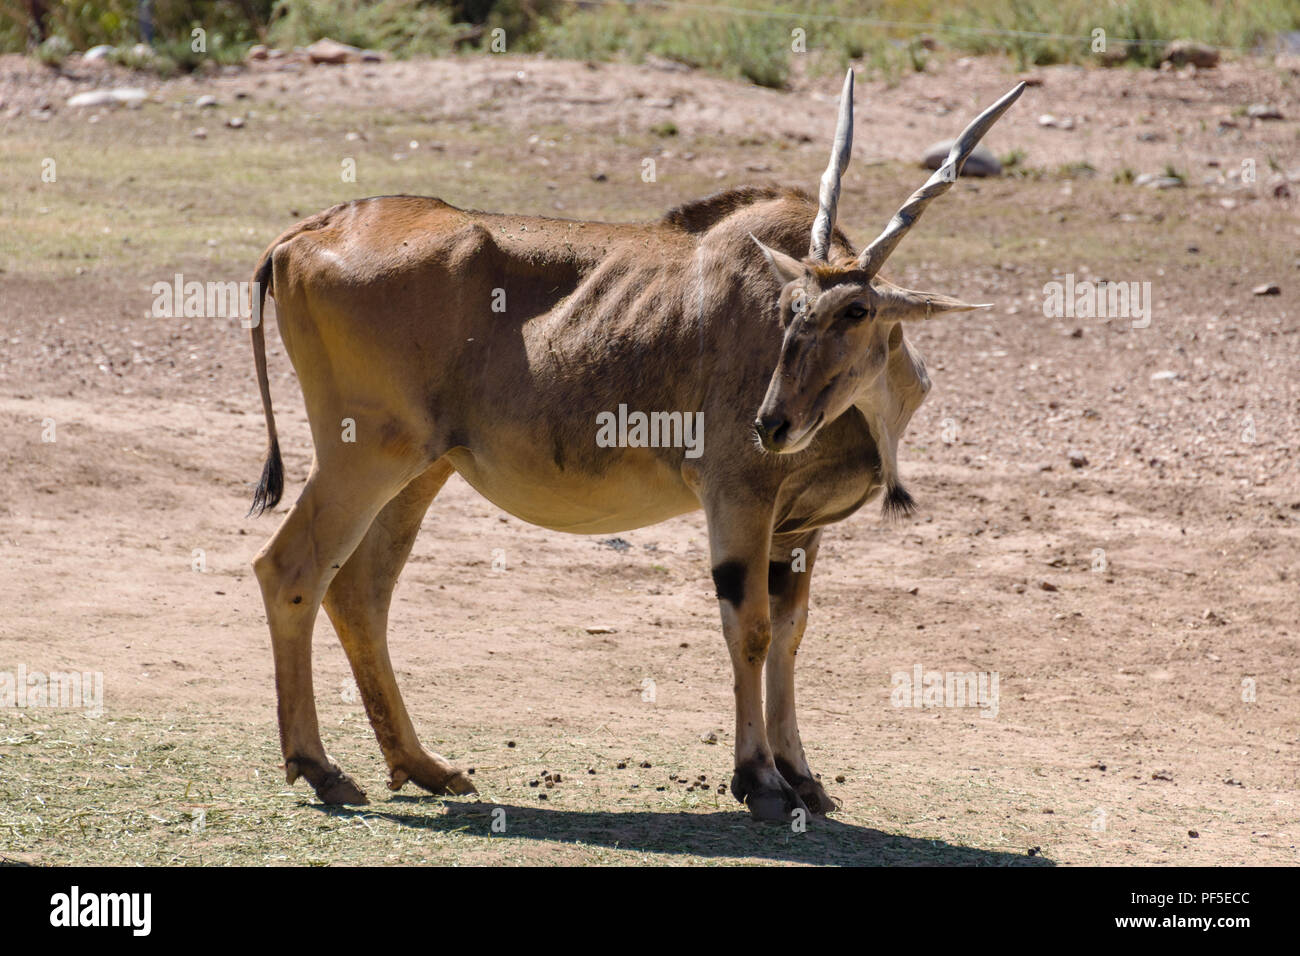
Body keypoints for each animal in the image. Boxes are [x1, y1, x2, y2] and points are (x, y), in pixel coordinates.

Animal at [247, 71, 1025, 821]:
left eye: (857, 309)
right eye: (788, 309)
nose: (772, 424)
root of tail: (302, 234)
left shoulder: (799, 528)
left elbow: (792, 633)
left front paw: (804, 779)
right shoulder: (738, 499)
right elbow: (751, 628)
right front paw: (760, 782)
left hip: (420, 469)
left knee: (360, 590)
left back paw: (423, 766)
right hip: (364, 457)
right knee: (291, 570)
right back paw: (320, 769)